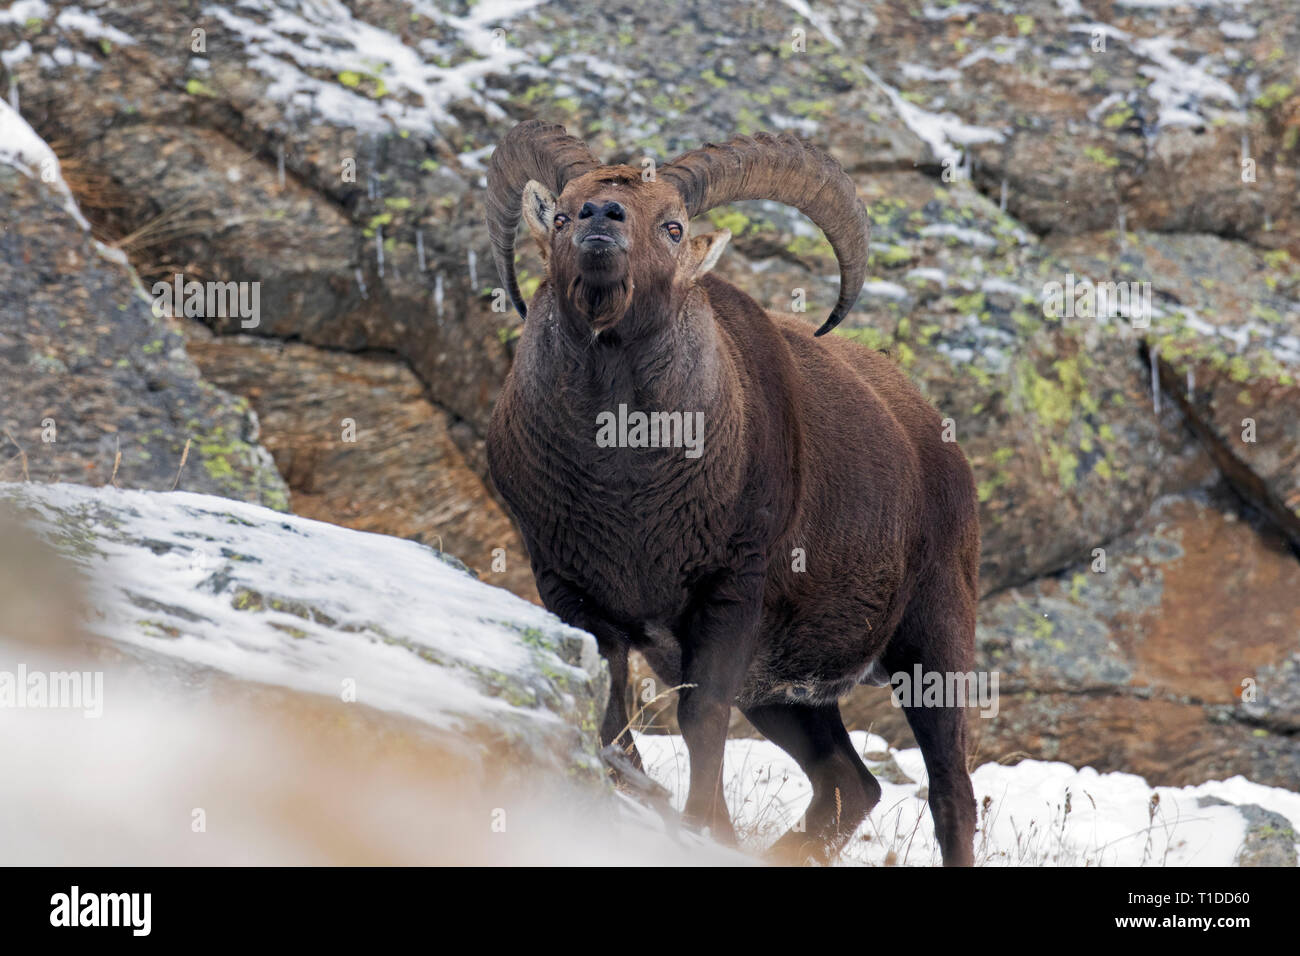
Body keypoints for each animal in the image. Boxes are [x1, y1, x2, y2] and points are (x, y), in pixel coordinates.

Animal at [485, 121, 979, 865]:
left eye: (673, 225)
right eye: (564, 213)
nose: (601, 218)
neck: (622, 487)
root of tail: (934, 430)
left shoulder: (730, 590)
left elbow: (701, 715)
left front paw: (700, 826)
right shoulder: (570, 589)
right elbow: (610, 707)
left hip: (935, 635)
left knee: (952, 795)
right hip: (786, 695)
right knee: (849, 783)